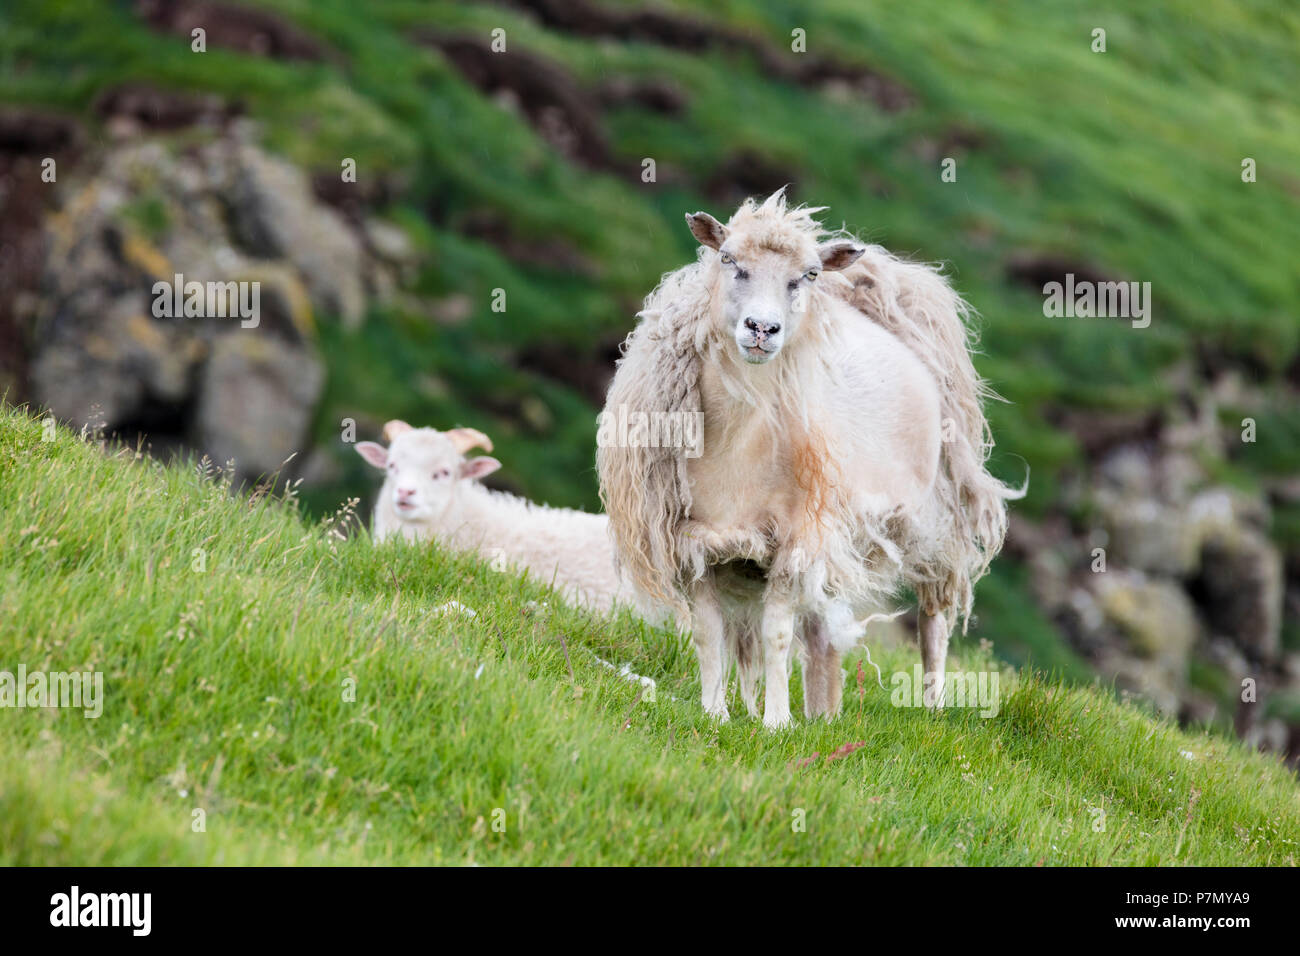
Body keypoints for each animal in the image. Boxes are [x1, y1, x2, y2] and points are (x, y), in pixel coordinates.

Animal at [597, 189, 1022, 727]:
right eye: (727, 259)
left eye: (808, 275)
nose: (762, 328)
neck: (738, 447)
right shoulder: (694, 540)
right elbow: (709, 634)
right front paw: (716, 714)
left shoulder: (796, 535)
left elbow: (776, 634)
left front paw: (776, 722)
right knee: (822, 633)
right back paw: (824, 715)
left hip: (935, 516)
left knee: (934, 615)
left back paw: (932, 704)